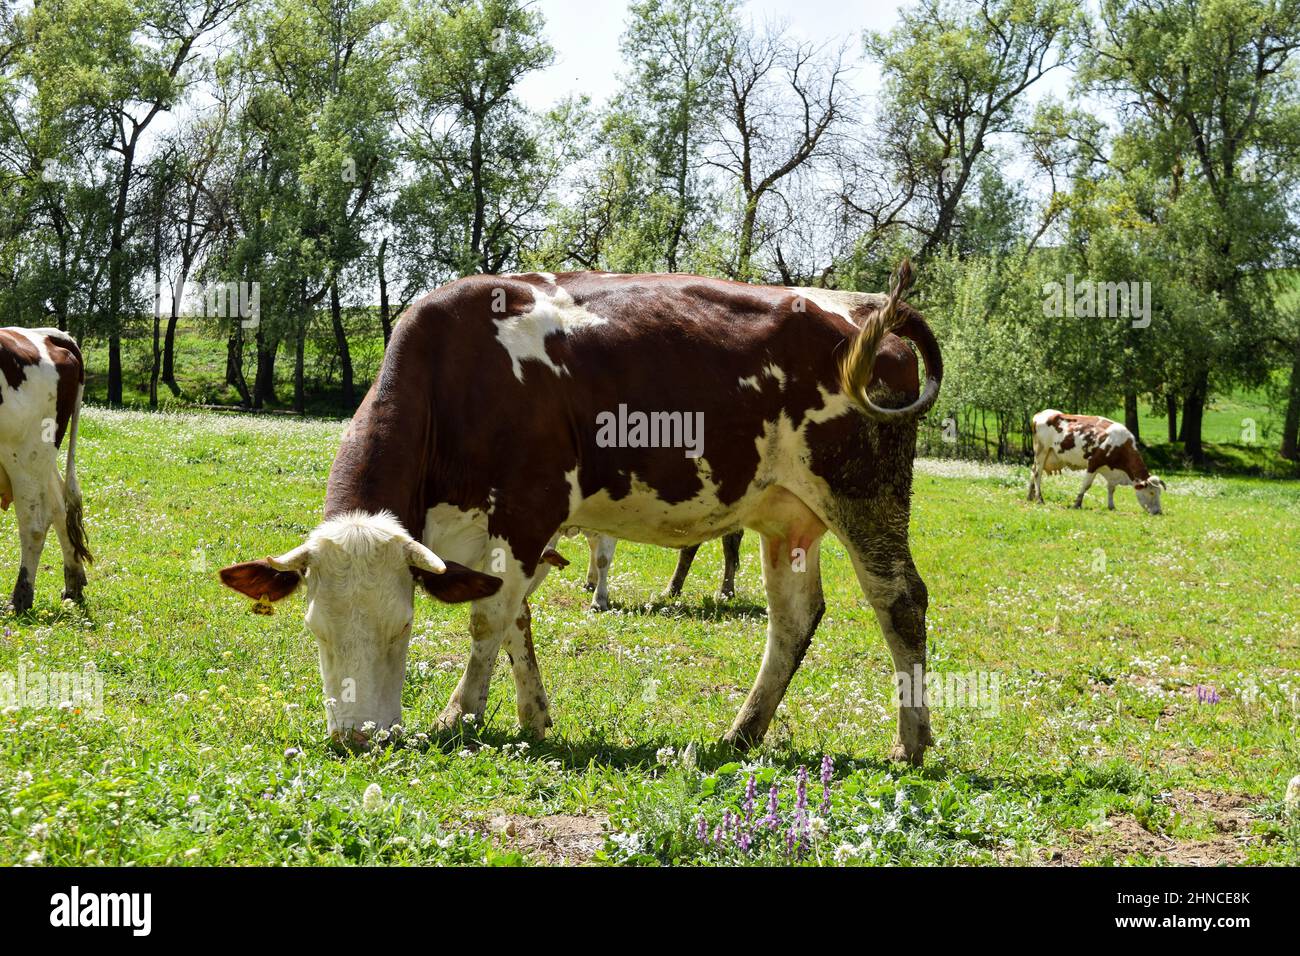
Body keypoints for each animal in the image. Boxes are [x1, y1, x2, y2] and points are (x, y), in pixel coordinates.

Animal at [0, 328, 92, 611]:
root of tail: (45, 335)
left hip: (26, 456)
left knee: (34, 525)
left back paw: (20, 598)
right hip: (41, 459)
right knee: (60, 508)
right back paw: (73, 584)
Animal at [578, 529, 743, 612]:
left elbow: (602, 558)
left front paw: (598, 601)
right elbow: (593, 545)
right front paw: (591, 583)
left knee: (730, 541)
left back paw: (726, 592)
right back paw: (673, 590)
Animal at [1028, 410, 1165, 514]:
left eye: (1159, 493)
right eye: (1151, 492)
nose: (1158, 512)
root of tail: (1041, 413)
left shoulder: (1111, 471)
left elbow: (1111, 489)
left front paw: (1111, 506)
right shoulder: (1093, 463)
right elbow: (1086, 485)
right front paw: (1077, 504)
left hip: (1045, 454)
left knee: (1032, 471)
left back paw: (1029, 496)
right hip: (1042, 450)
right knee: (1037, 474)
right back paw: (1039, 499)